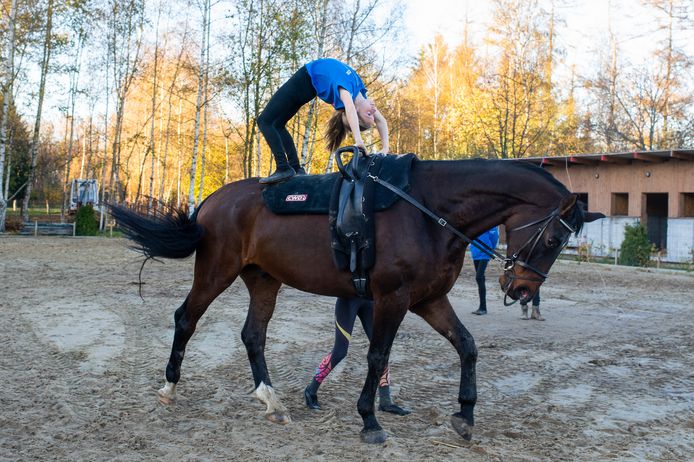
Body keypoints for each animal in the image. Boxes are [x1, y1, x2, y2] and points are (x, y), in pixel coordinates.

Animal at [110, 157, 604, 444]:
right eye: (555, 237)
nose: (523, 291)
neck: (428, 211)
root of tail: (213, 199)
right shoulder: (393, 298)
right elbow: (377, 355)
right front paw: (370, 419)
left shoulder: (429, 300)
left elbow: (467, 346)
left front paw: (465, 414)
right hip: (216, 272)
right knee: (185, 319)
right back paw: (170, 387)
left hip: (264, 280)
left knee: (253, 335)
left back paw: (272, 401)